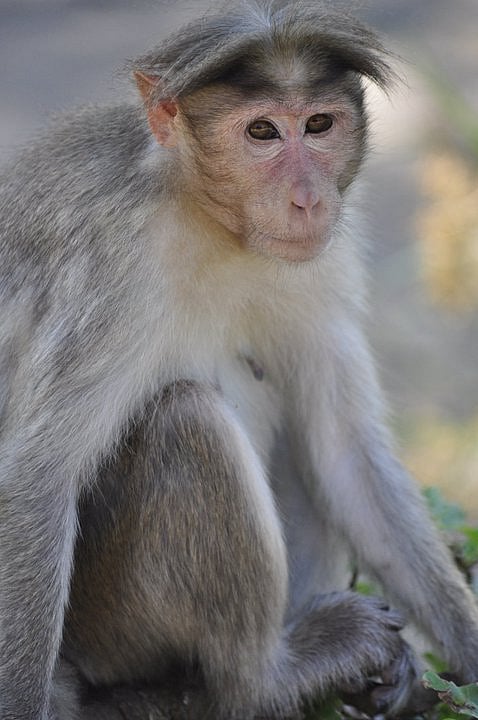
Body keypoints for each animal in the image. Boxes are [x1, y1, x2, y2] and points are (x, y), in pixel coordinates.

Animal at [1, 1, 478, 719]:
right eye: (261, 132)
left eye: (318, 125)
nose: (309, 198)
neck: (208, 218)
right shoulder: (112, 264)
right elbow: (39, 480)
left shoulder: (324, 258)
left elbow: (344, 454)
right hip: (111, 625)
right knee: (188, 418)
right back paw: (266, 677)